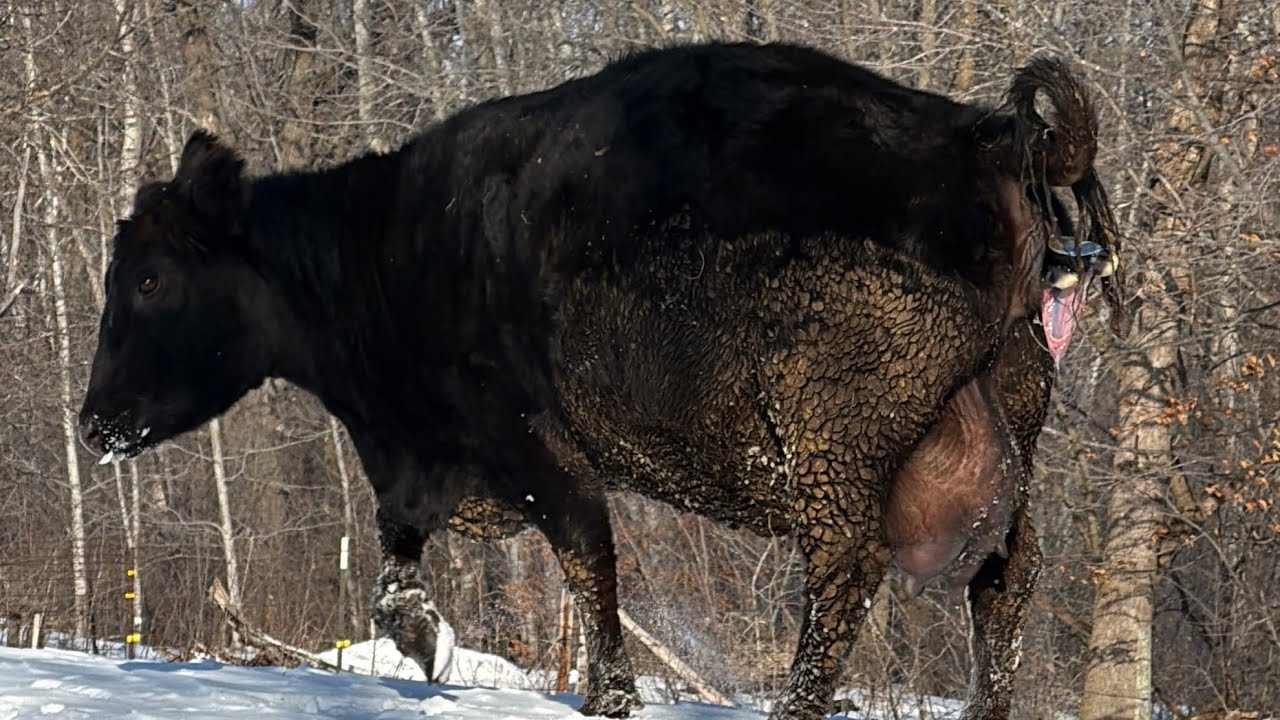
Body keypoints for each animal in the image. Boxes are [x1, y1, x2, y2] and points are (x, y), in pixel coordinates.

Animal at [77, 41, 1121, 720]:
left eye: (149, 278)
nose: (93, 423)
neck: (391, 244)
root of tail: (981, 135)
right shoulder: (432, 470)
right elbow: (394, 569)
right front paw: (423, 639)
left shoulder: (537, 448)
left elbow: (588, 561)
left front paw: (603, 691)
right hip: (1001, 428)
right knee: (1006, 581)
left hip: (834, 443)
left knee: (845, 577)